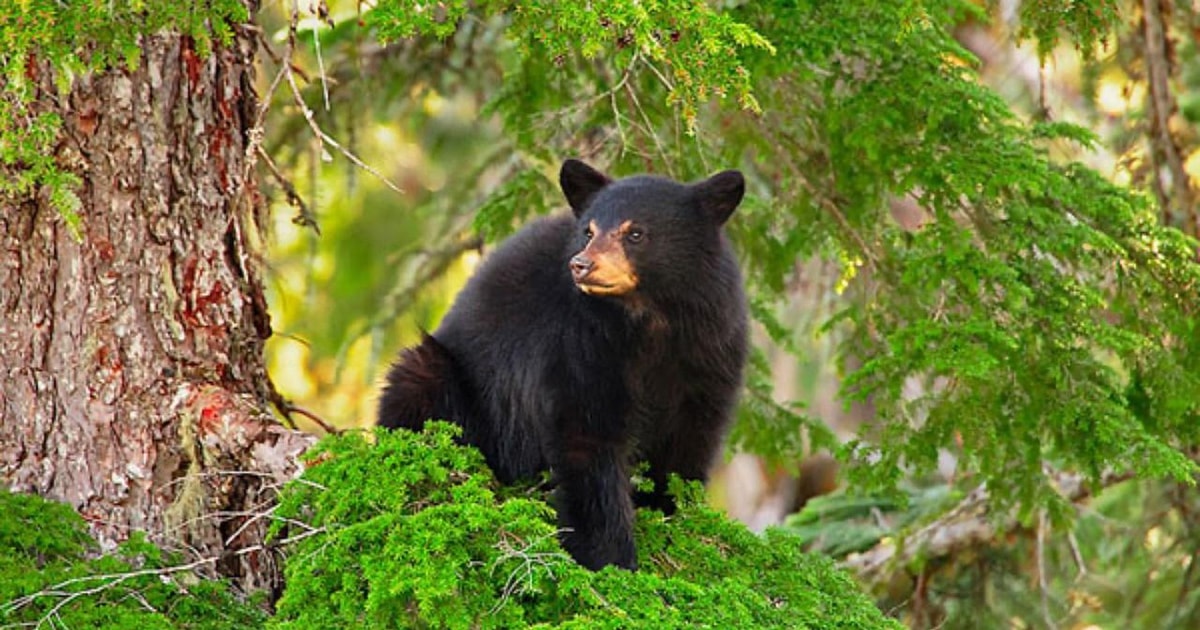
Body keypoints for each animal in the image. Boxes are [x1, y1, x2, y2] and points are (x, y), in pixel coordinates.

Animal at [377, 159, 748, 571]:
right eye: (589, 230)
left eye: (635, 233)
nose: (581, 264)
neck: (648, 321)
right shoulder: (578, 345)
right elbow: (587, 438)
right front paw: (612, 558)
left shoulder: (708, 352)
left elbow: (689, 440)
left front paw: (669, 514)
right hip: (445, 379)